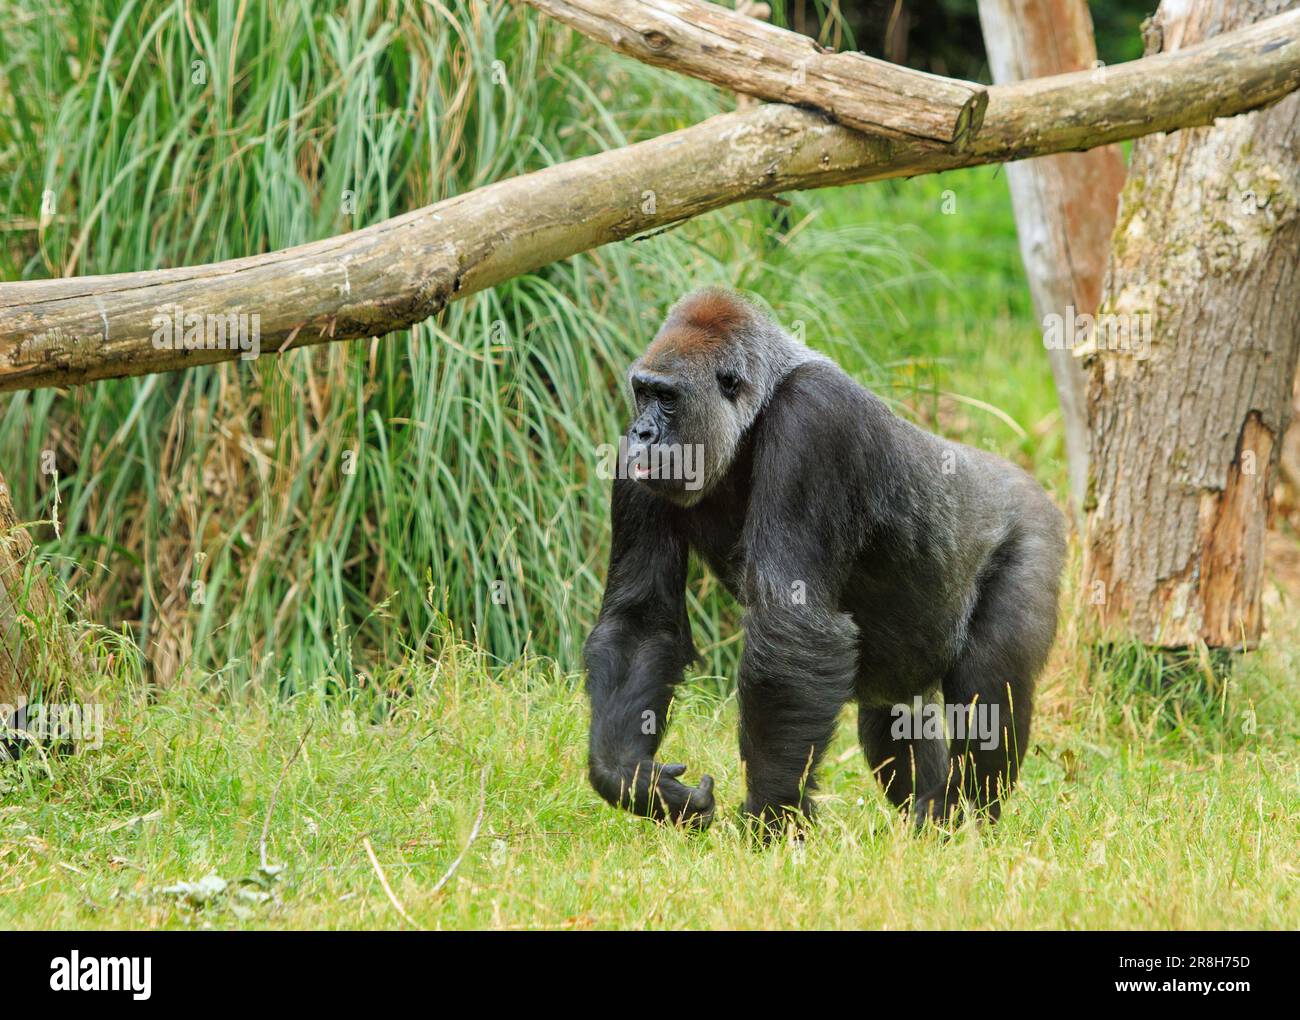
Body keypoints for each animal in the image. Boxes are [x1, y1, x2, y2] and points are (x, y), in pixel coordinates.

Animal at [584, 288, 1066, 836]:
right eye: (642, 393)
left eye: (667, 398)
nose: (643, 432)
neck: (756, 412)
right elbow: (641, 623)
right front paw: (630, 777)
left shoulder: (813, 418)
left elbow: (792, 626)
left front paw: (771, 816)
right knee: (892, 717)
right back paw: (927, 823)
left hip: (1033, 530)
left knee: (988, 690)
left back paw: (963, 820)